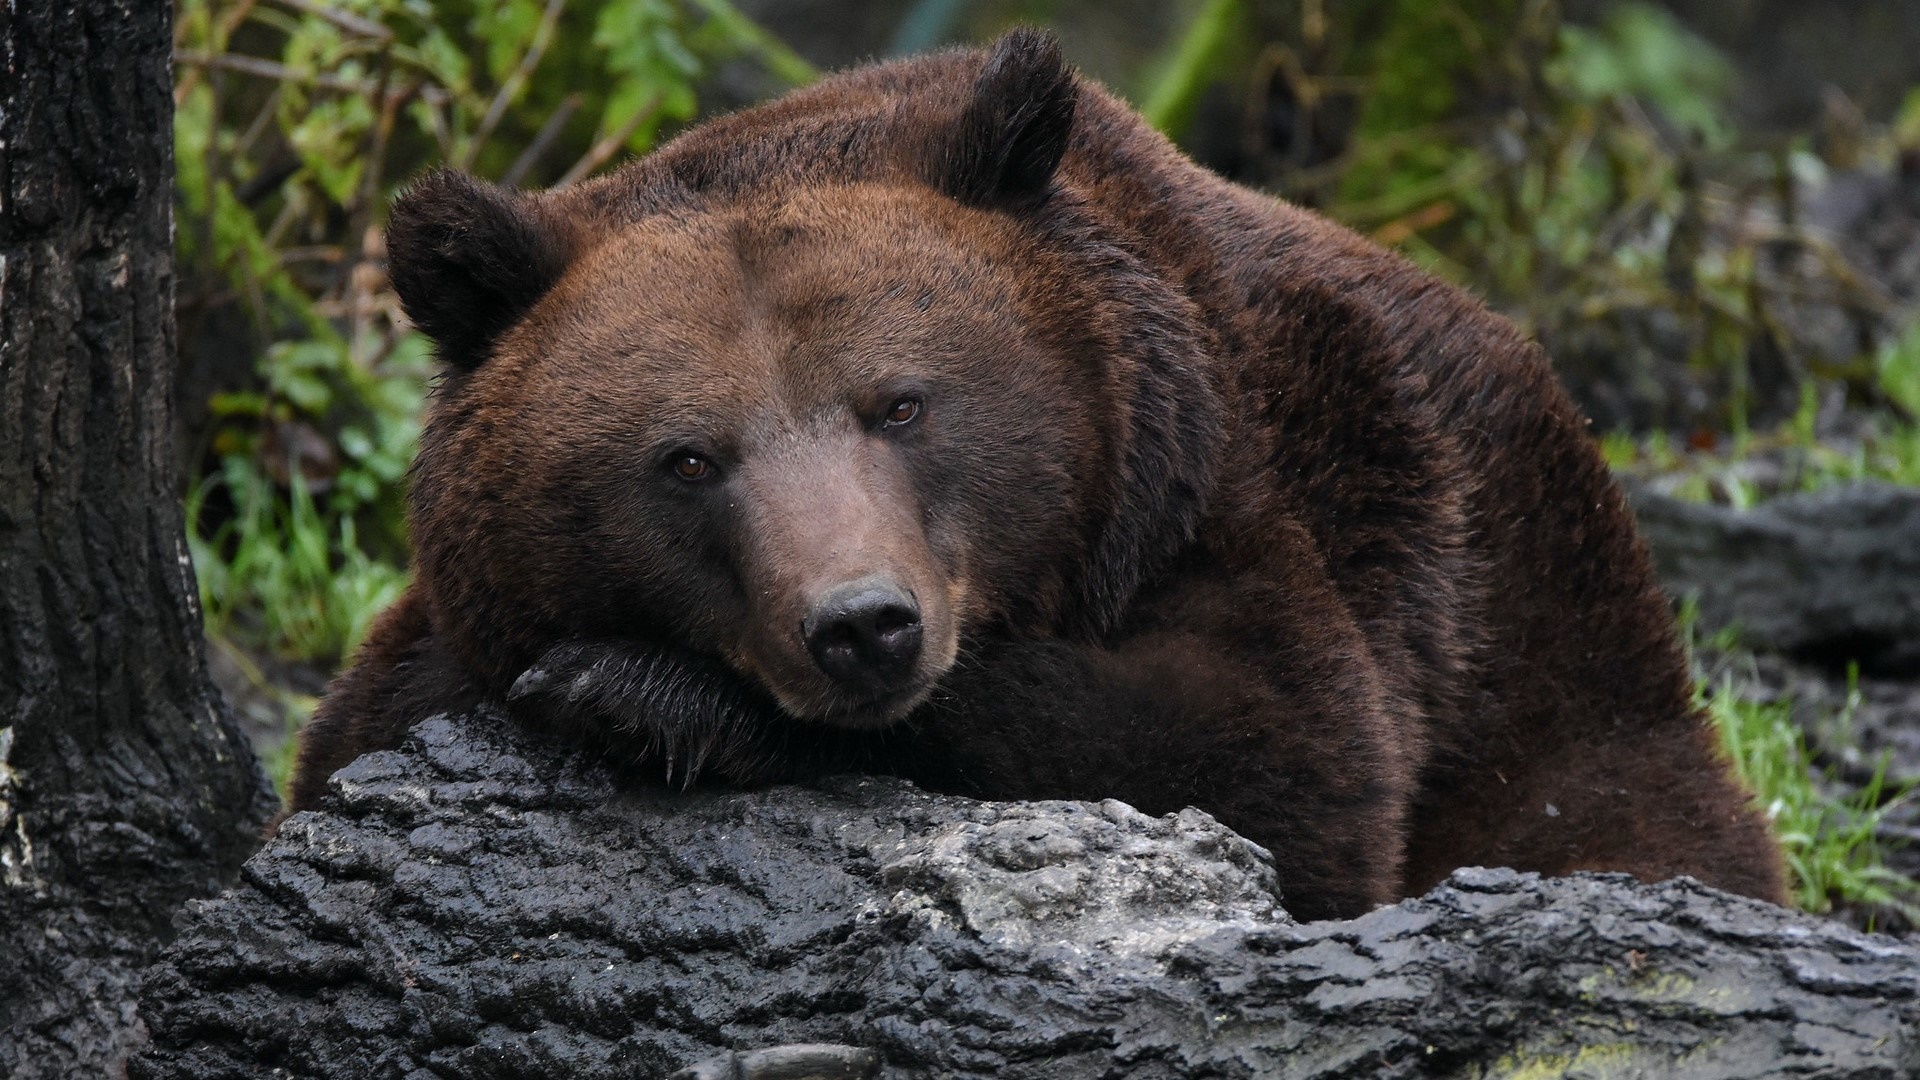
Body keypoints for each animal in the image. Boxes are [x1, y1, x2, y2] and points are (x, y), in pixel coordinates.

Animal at [288, 28, 1786, 921]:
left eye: (901, 403)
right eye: (688, 457)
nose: (862, 627)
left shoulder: (1238, 504)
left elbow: (1276, 759)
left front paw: (640, 690)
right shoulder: (436, 636)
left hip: (1541, 654)